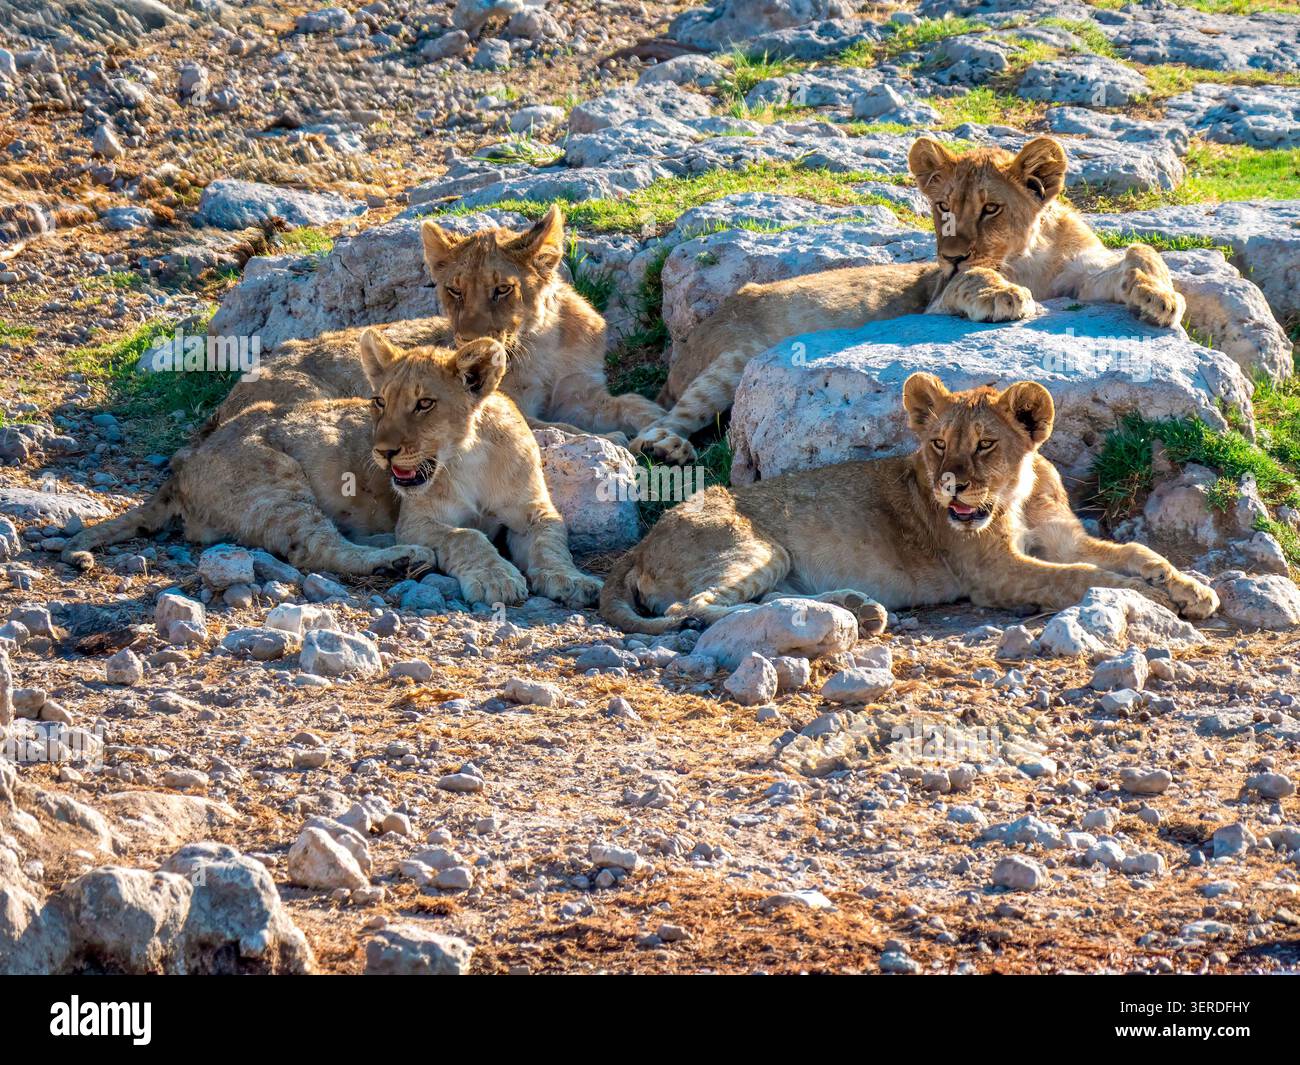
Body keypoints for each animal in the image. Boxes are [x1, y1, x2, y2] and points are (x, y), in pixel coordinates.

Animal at [63, 336, 602, 609]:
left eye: (424, 404)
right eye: (379, 401)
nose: (383, 452)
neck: (467, 454)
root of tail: (183, 463)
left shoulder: (533, 511)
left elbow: (553, 539)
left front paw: (574, 582)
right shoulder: (418, 520)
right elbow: (467, 536)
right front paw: (497, 580)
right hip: (277, 482)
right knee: (314, 550)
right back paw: (398, 559)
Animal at [211, 205, 664, 441]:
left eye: (502, 289)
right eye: (455, 291)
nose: (466, 339)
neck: (541, 343)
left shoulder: (581, 391)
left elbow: (631, 403)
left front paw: (666, 436)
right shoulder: (507, 404)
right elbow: (564, 429)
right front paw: (616, 441)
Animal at [601, 374, 1217, 634]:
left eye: (985, 444)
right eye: (939, 443)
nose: (950, 486)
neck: (1016, 494)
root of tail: (639, 545)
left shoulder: (1061, 537)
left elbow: (1137, 552)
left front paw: (1191, 588)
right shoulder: (995, 573)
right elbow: (1084, 577)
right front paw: (1149, 599)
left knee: (765, 600)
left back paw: (858, 608)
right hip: (757, 546)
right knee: (695, 608)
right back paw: (856, 612)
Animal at [629, 135, 1186, 465]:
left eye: (990, 208)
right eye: (942, 206)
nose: (950, 254)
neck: (1031, 257)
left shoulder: (1080, 276)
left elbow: (1140, 252)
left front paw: (1160, 299)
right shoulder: (936, 297)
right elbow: (973, 281)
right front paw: (1004, 294)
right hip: (733, 361)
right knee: (657, 424)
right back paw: (667, 447)